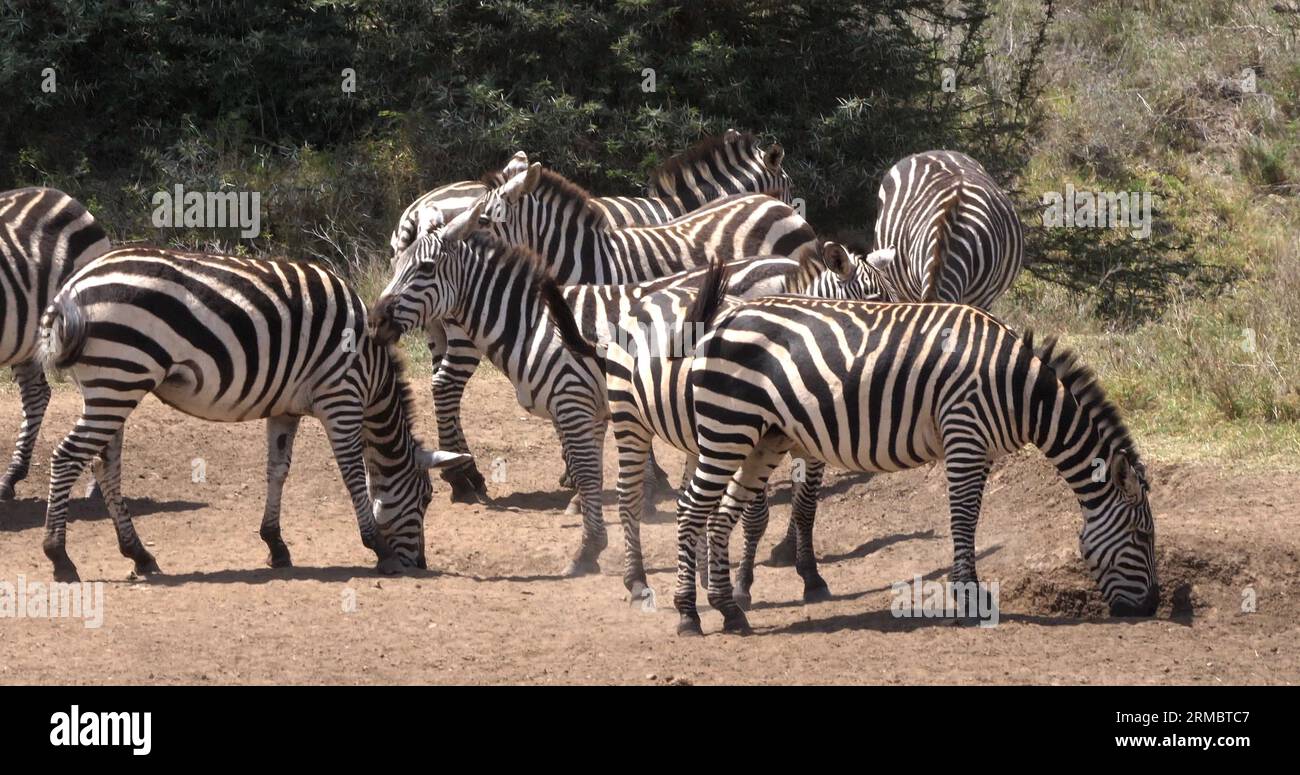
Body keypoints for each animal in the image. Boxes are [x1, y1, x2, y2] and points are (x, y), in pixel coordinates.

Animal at [35, 247, 467, 582]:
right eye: (426, 499)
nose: (419, 564)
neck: (371, 370)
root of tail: (71, 287)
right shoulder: (340, 397)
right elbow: (351, 475)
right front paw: (378, 547)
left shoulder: (286, 409)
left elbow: (277, 470)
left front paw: (276, 544)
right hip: (118, 378)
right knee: (67, 457)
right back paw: (60, 557)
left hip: (109, 386)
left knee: (104, 466)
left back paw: (139, 554)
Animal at [673, 295, 1159, 635]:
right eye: (1142, 537)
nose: (1152, 607)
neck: (1021, 392)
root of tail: (724, 317)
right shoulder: (965, 435)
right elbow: (964, 520)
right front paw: (969, 599)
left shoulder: (981, 451)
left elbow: (970, 520)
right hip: (727, 426)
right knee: (691, 510)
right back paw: (688, 615)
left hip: (762, 438)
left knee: (720, 516)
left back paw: (729, 610)